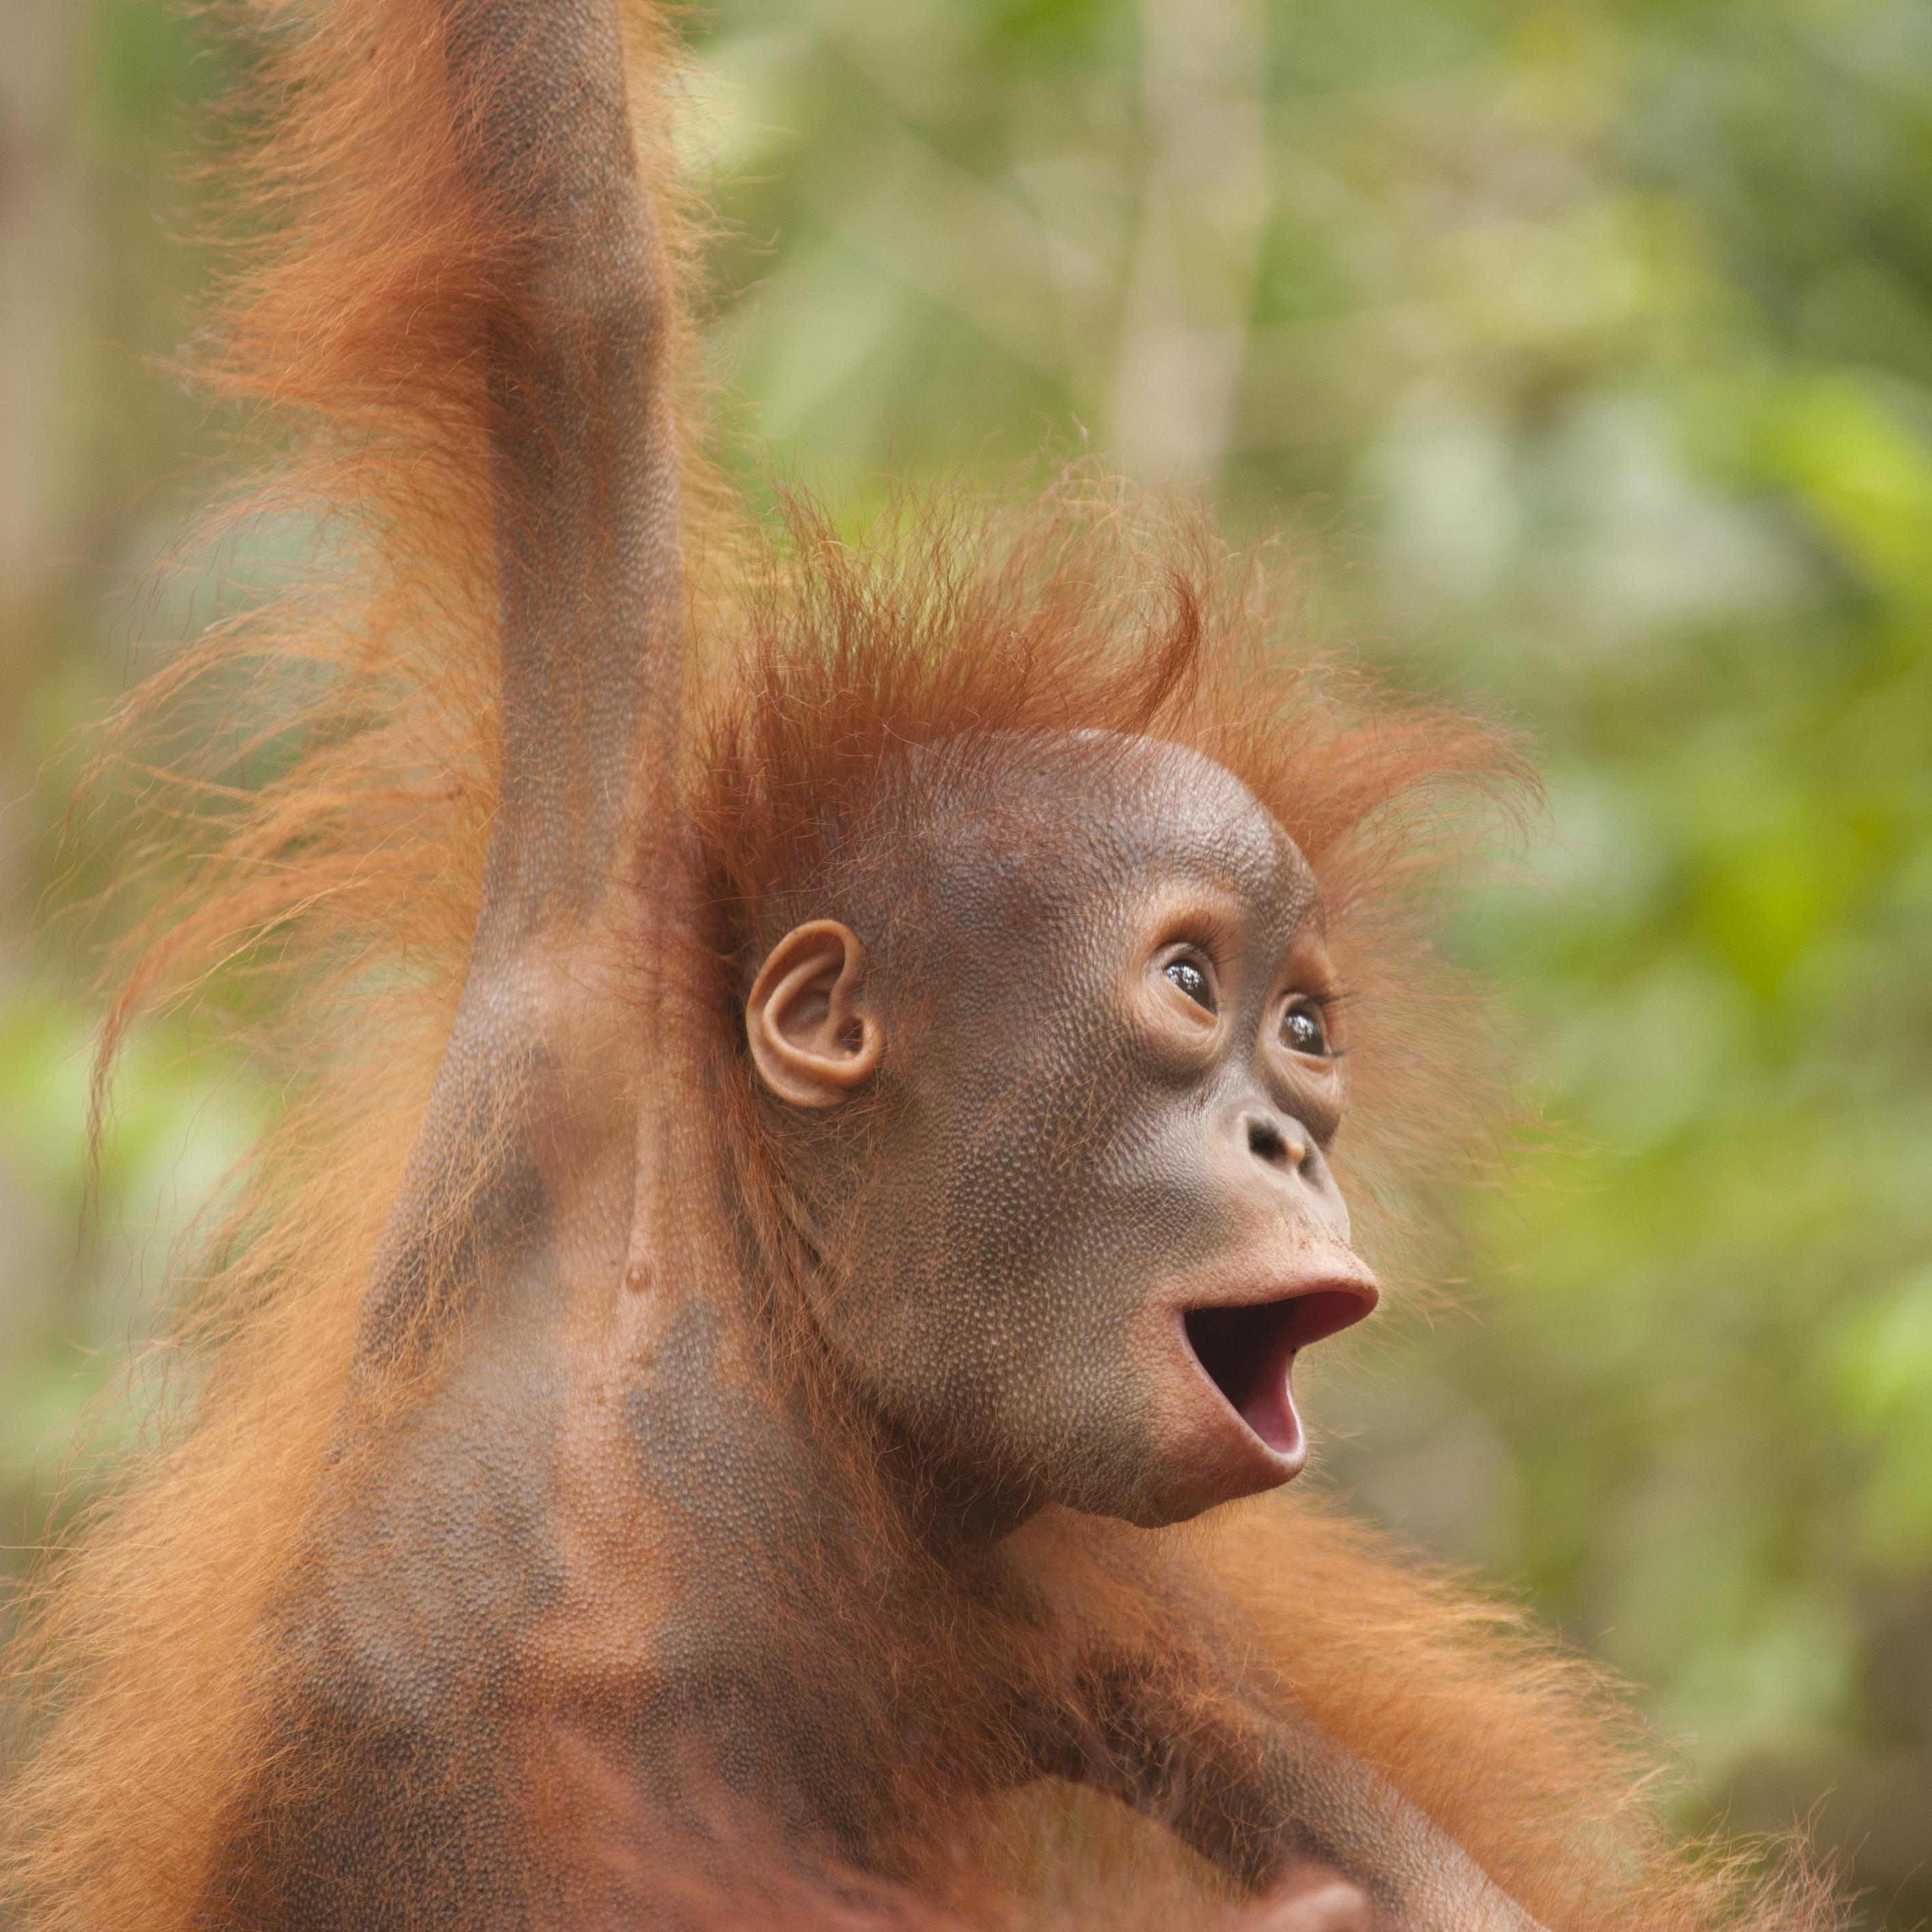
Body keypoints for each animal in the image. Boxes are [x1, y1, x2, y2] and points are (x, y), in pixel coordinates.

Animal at [0, 3, 1838, 1931]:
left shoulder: (1084, 1608)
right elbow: (581, 288)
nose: (1291, 1139)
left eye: (1307, 1029)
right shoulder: (590, 1000)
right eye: (1195, 990)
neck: (797, 1343)